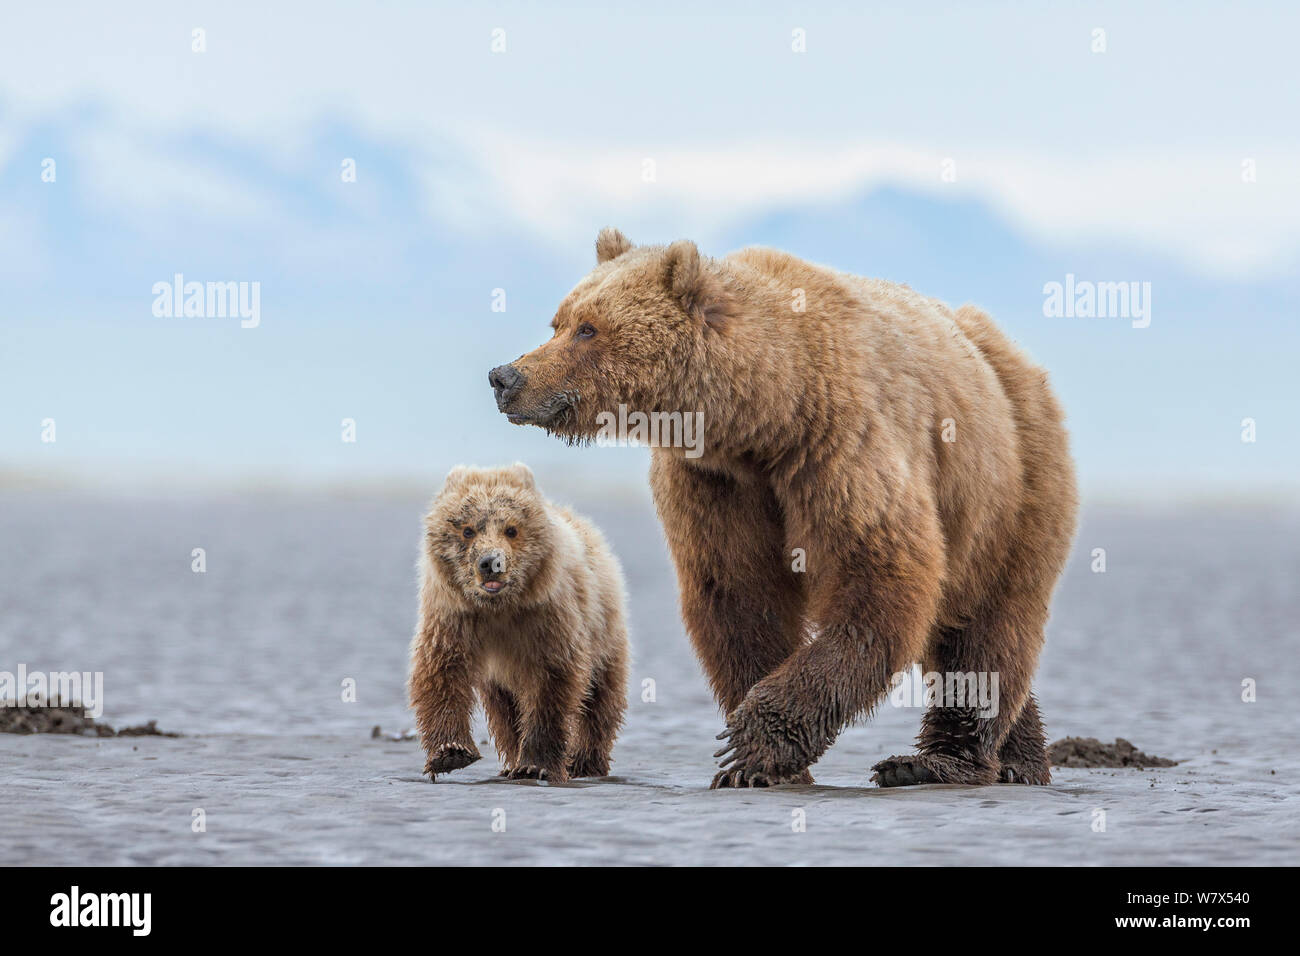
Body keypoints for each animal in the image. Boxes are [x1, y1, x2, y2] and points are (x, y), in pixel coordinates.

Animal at [408, 463, 629, 782]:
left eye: (511, 529)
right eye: (467, 529)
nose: (491, 562)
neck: (500, 607)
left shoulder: (546, 617)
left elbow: (551, 683)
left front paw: (535, 764)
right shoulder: (454, 616)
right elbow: (441, 670)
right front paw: (450, 752)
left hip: (604, 631)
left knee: (600, 699)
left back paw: (585, 763)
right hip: (499, 679)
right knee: (504, 711)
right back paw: (512, 761)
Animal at [488, 228, 1078, 789]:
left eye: (588, 328)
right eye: (558, 321)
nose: (505, 377)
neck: (767, 415)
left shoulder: (841, 446)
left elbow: (877, 582)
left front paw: (748, 748)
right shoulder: (716, 482)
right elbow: (739, 594)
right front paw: (766, 757)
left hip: (1015, 486)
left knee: (985, 634)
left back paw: (934, 762)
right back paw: (1020, 760)